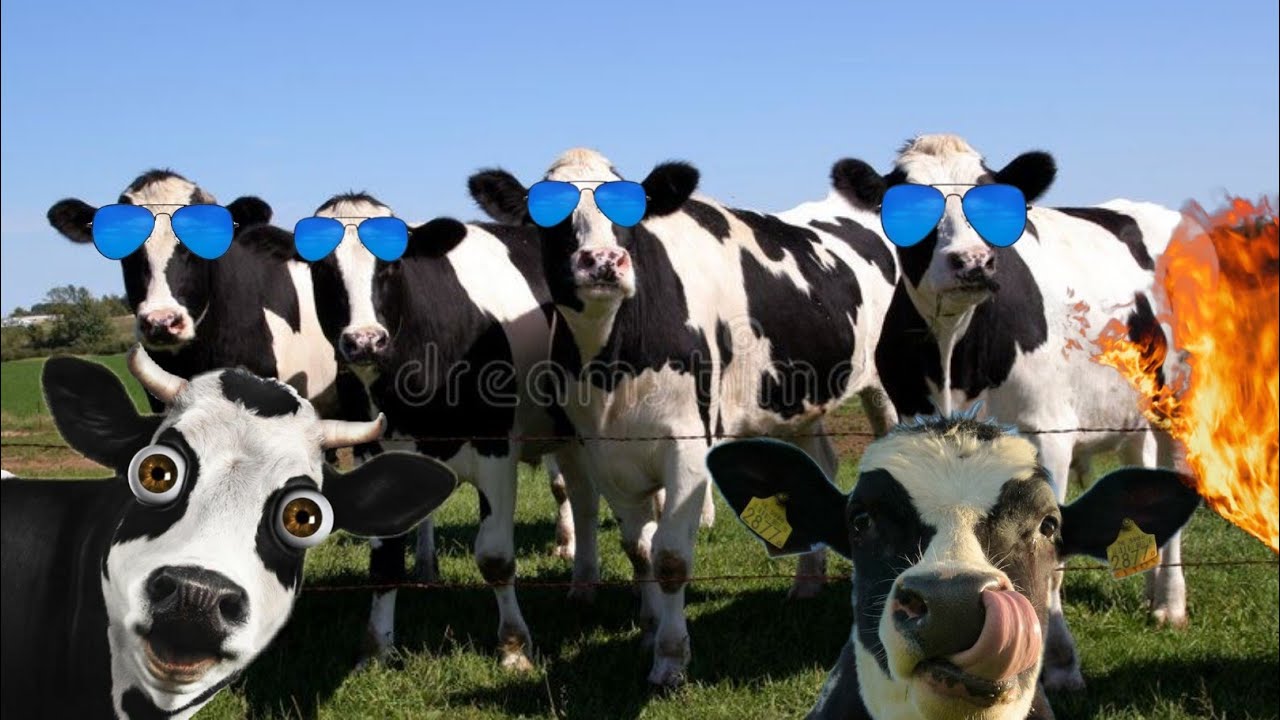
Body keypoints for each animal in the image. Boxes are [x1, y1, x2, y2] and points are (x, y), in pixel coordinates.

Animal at [247, 191, 605, 670]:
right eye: (320, 268)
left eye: (393, 264)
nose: (365, 341)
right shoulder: (374, 451)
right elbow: (384, 563)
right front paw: (376, 649)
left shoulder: (495, 447)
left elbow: (495, 556)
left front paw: (514, 647)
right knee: (583, 497)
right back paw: (583, 584)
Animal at [466, 148, 900, 687]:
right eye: (548, 215)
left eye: (631, 211)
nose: (603, 261)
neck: (613, 363)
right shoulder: (604, 452)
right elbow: (639, 548)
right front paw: (650, 630)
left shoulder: (688, 448)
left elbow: (671, 556)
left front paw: (671, 659)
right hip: (797, 404)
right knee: (818, 464)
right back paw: (807, 581)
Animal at [829, 134, 1188, 691]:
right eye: (905, 202)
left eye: (993, 197)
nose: (972, 260)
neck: (954, 345)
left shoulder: (1046, 434)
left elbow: (1048, 554)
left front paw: (1058, 663)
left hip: (1176, 400)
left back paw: (1170, 605)